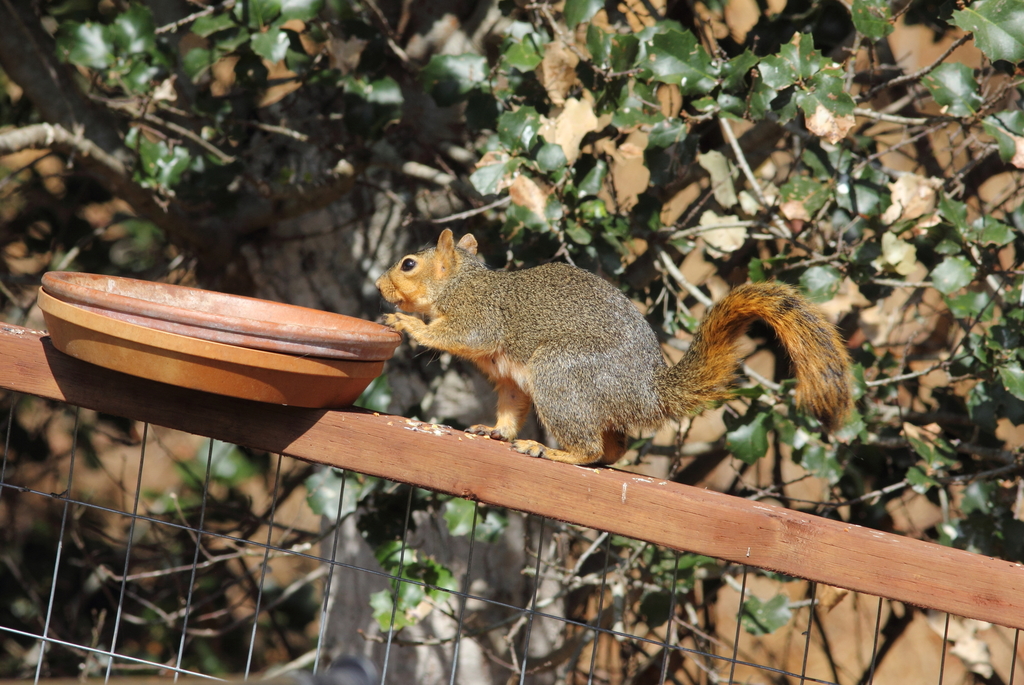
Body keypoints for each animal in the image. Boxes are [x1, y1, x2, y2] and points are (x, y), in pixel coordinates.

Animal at [376, 229, 852, 466]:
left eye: (408, 264)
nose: (379, 286)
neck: (460, 282)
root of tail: (647, 392)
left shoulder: (479, 317)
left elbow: (459, 334)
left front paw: (409, 324)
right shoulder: (509, 378)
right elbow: (511, 406)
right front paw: (497, 431)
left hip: (561, 373)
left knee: (587, 447)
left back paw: (552, 451)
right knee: (615, 447)